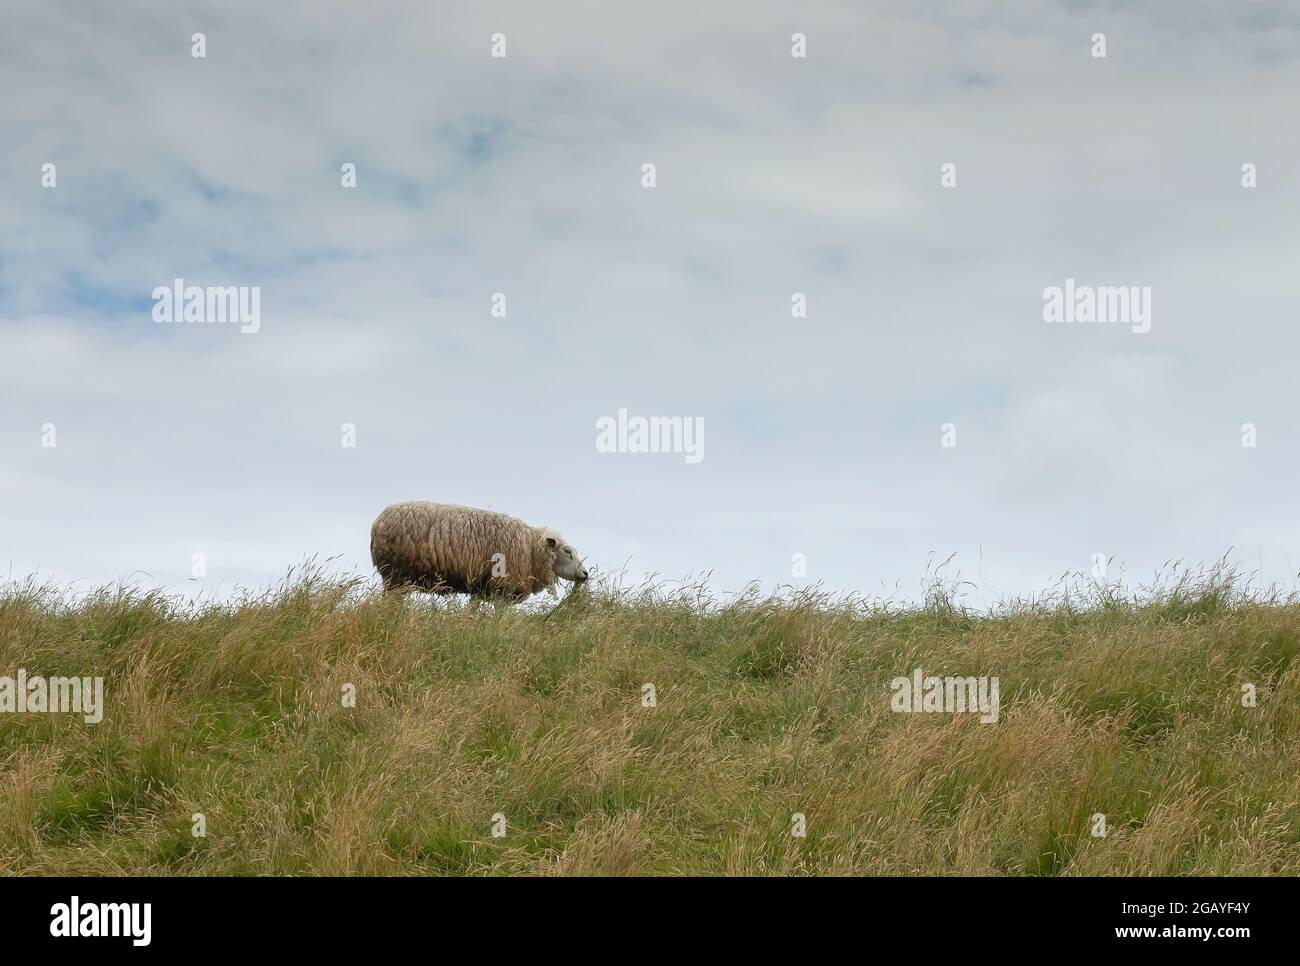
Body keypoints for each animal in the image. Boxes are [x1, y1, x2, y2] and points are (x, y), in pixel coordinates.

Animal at [369, 501, 589, 602]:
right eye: (567, 551)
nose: (585, 573)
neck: (531, 549)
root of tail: (378, 522)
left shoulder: (481, 587)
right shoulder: (503, 586)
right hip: (395, 575)